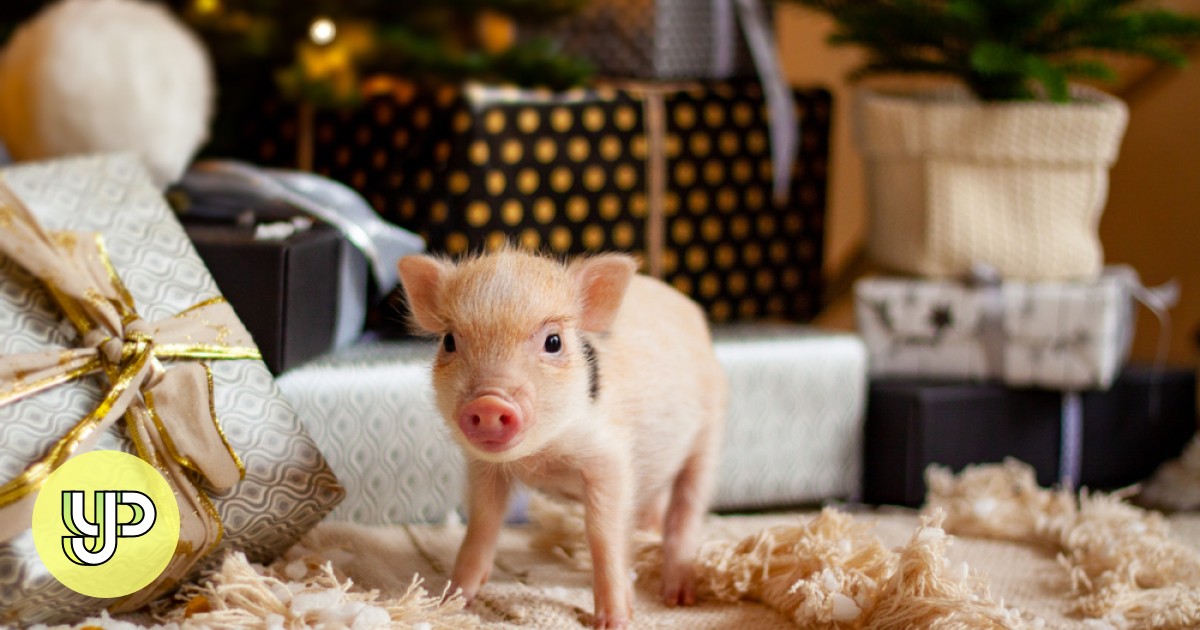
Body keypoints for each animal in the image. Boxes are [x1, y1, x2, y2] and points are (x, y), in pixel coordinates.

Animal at [397, 248, 728, 629]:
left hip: (710, 433)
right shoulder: (483, 468)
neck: (543, 458)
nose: (490, 402)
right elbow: (481, 524)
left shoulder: (609, 460)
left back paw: (677, 598)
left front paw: (615, 621)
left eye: (553, 341)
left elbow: (602, 532)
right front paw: (450, 602)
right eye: (449, 341)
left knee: (687, 507)